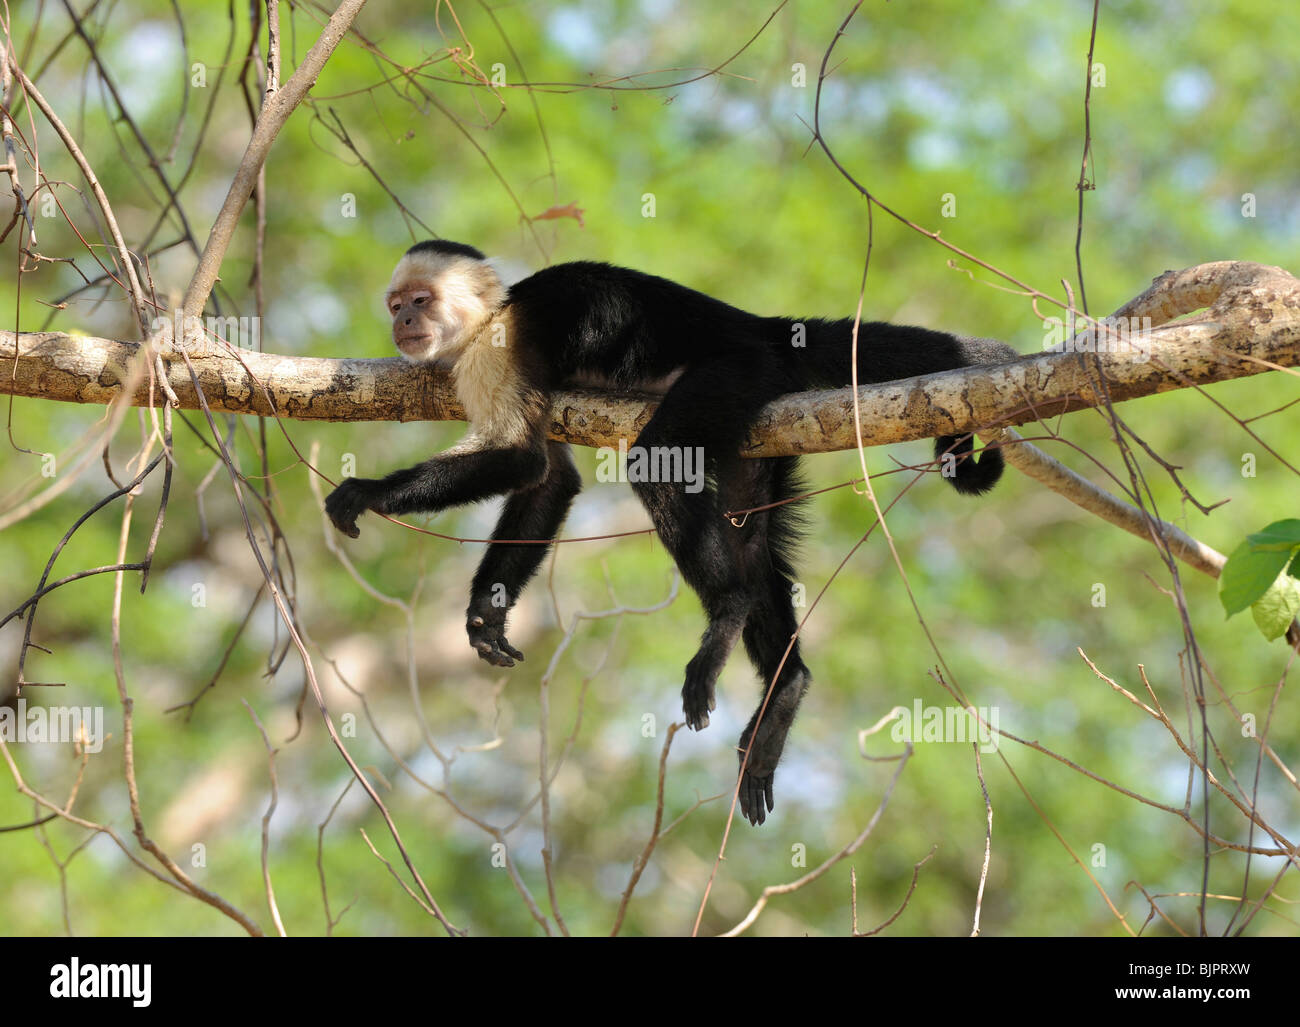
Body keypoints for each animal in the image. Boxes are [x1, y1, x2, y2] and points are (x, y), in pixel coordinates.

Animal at [325, 239, 1019, 825]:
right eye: (396, 304)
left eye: (421, 301)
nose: (402, 324)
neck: (493, 313)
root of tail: (759, 326)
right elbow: (549, 481)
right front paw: (484, 613)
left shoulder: (496, 348)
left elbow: (522, 460)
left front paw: (366, 492)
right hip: (761, 415)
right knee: (749, 538)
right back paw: (784, 690)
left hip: (735, 371)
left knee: (657, 460)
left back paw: (726, 614)